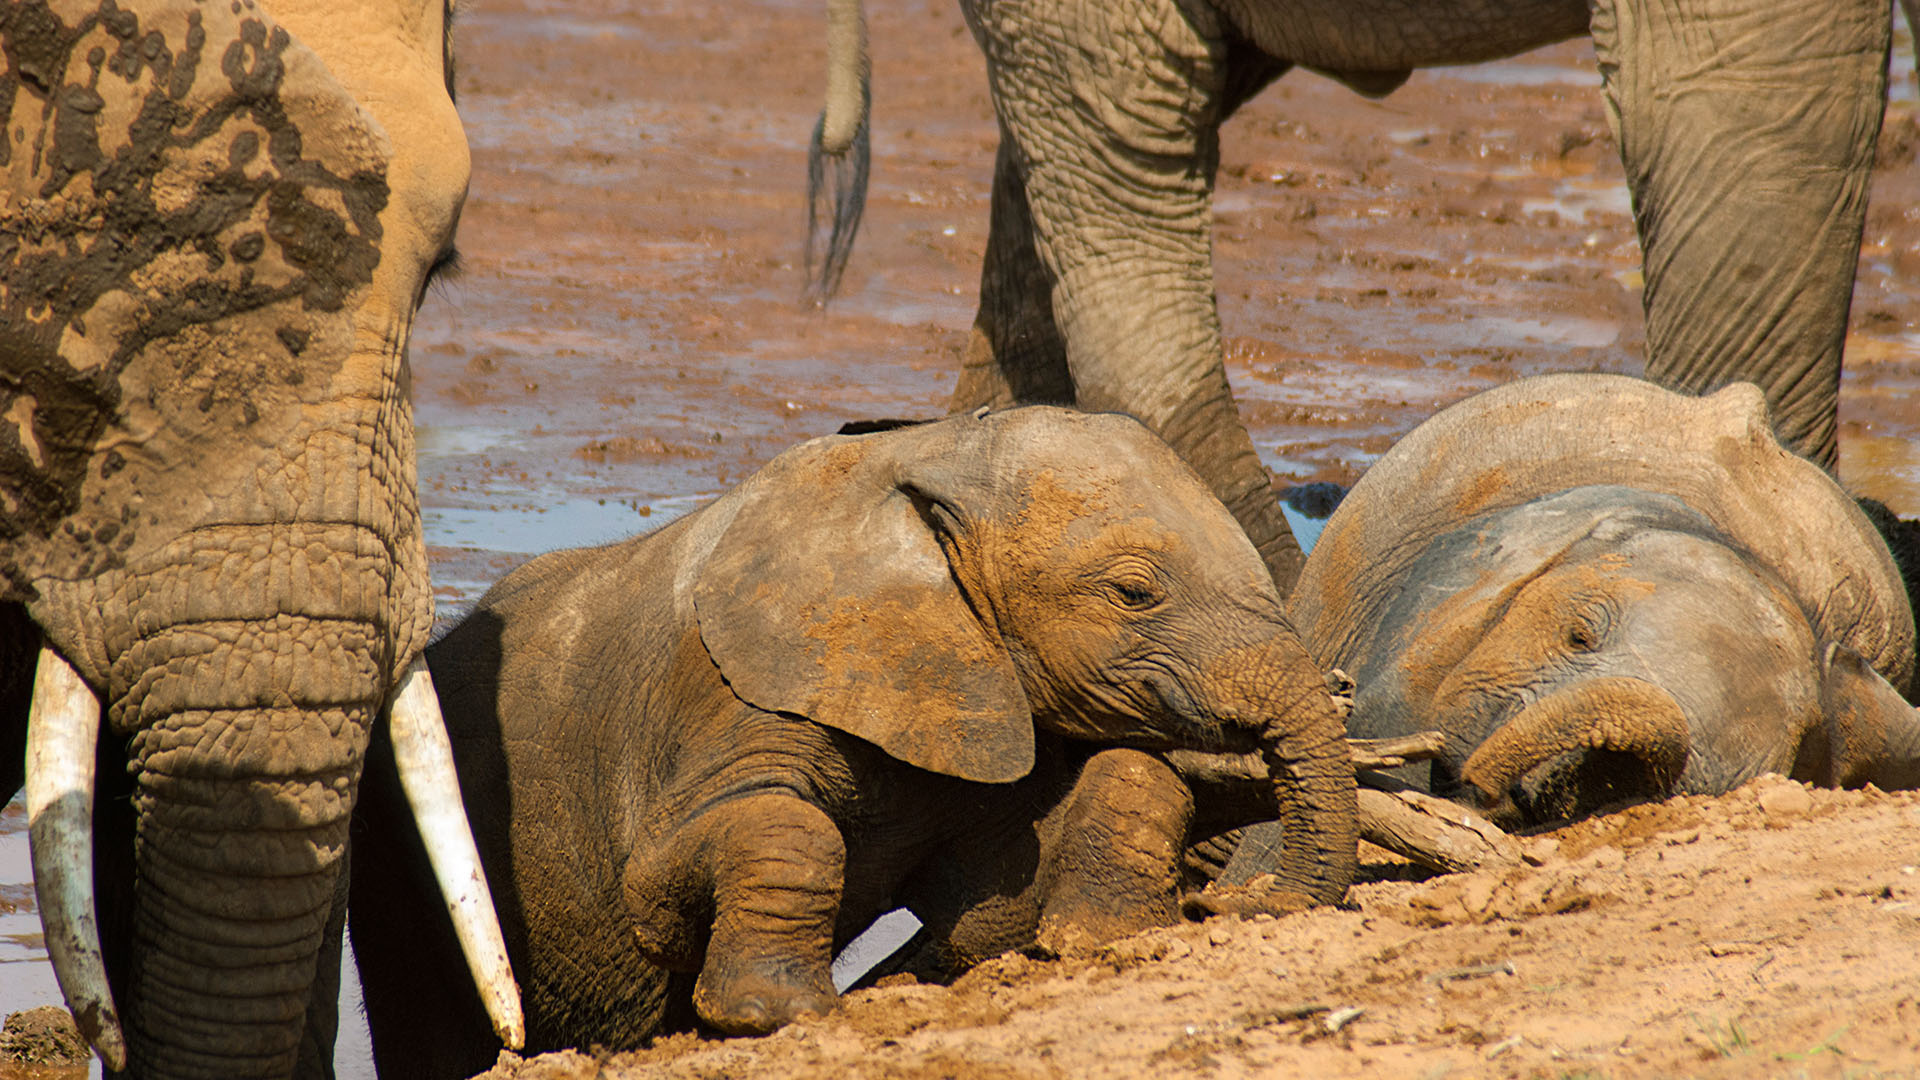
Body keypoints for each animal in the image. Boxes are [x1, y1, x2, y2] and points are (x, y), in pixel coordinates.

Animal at [346, 406, 1359, 1078]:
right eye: (1135, 594)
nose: (1241, 903)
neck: (923, 465)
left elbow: (999, 904)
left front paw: (1107, 938)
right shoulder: (740, 692)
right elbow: (700, 857)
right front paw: (776, 1014)